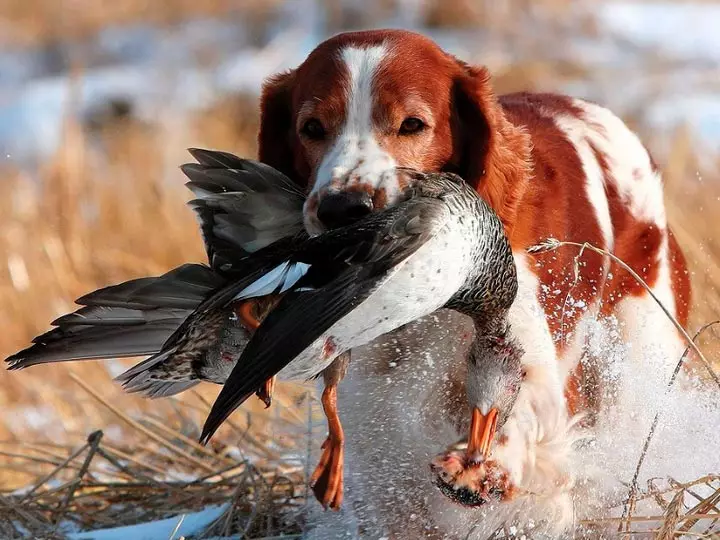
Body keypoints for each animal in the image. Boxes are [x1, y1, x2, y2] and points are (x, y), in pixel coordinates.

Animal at [256, 30, 688, 540]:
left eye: (412, 124)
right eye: (312, 127)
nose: (343, 208)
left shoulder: (521, 349)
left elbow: (514, 406)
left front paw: (484, 467)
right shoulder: (374, 399)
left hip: (639, 355)